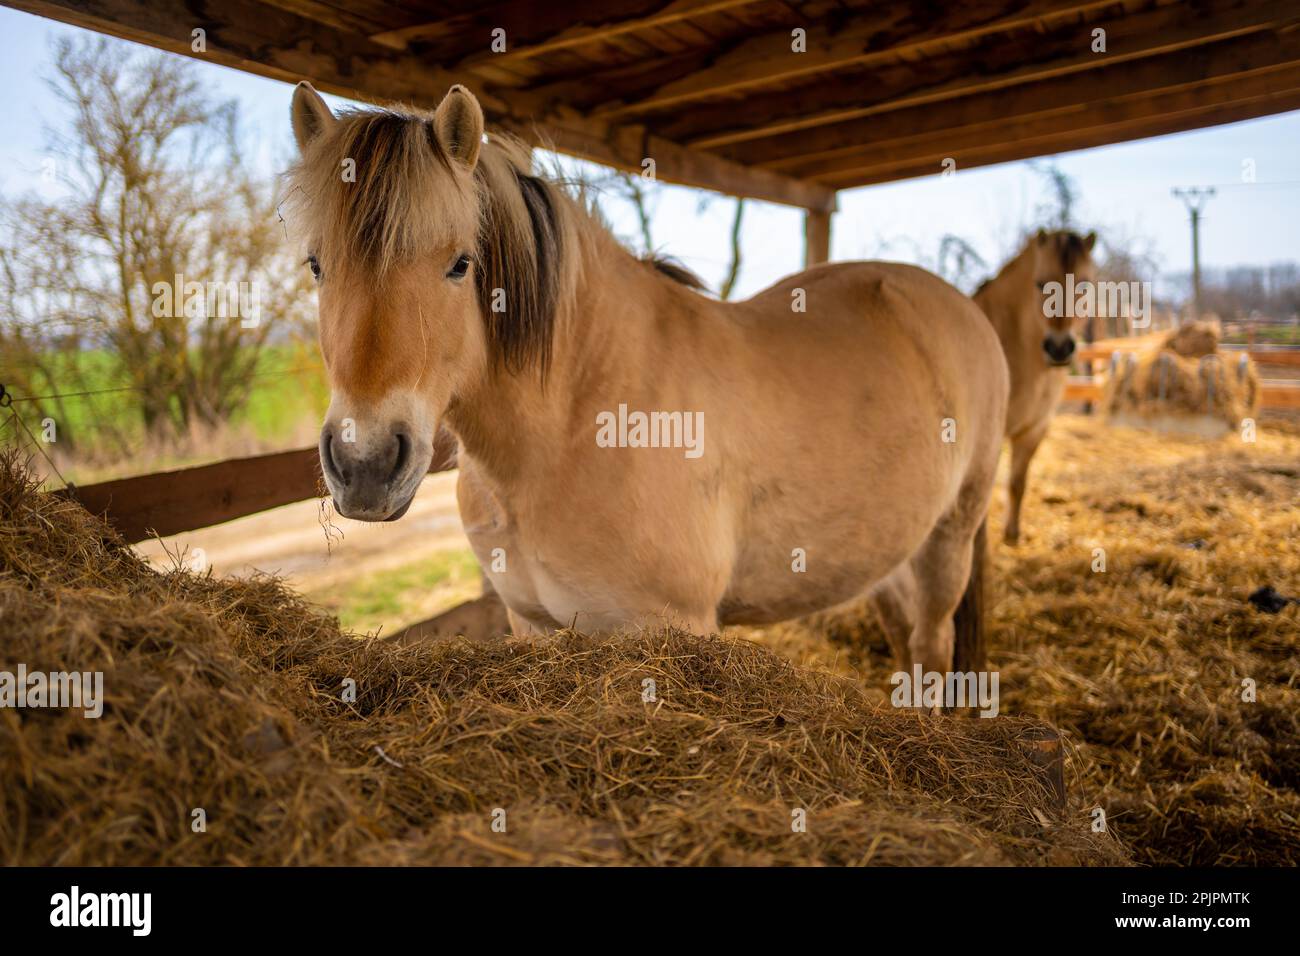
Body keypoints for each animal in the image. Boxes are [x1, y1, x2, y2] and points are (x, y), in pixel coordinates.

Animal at [285, 81, 1009, 674]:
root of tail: (963, 308)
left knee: (932, 640)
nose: (365, 464)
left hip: (951, 535)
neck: (575, 422)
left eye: (461, 264)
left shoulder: (673, 625)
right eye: (316, 265)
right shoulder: (530, 621)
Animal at [974, 230, 1096, 545]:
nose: (1059, 348)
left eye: (1084, 284)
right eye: (1040, 284)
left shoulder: (1035, 429)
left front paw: (1012, 535)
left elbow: (1018, 483)